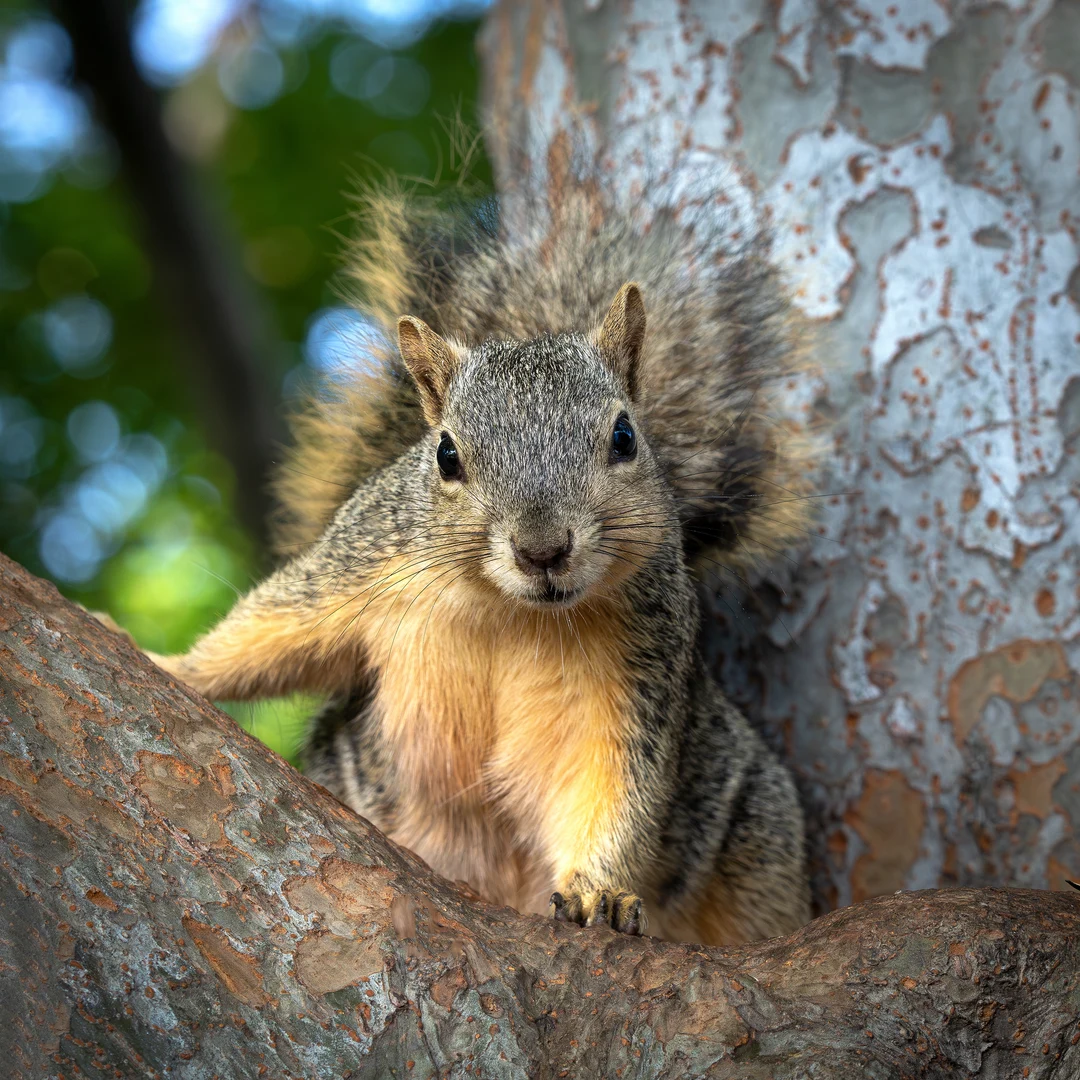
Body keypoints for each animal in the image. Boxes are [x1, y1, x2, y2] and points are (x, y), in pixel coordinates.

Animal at [147, 174, 818, 945]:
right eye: (445, 453)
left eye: (625, 436)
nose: (543, 549)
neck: (504, 607)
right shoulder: (363, 562)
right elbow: (266, 637)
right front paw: (164, 661)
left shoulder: (639, 662)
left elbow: (614, 786)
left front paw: (597, 891)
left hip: (758, 845)